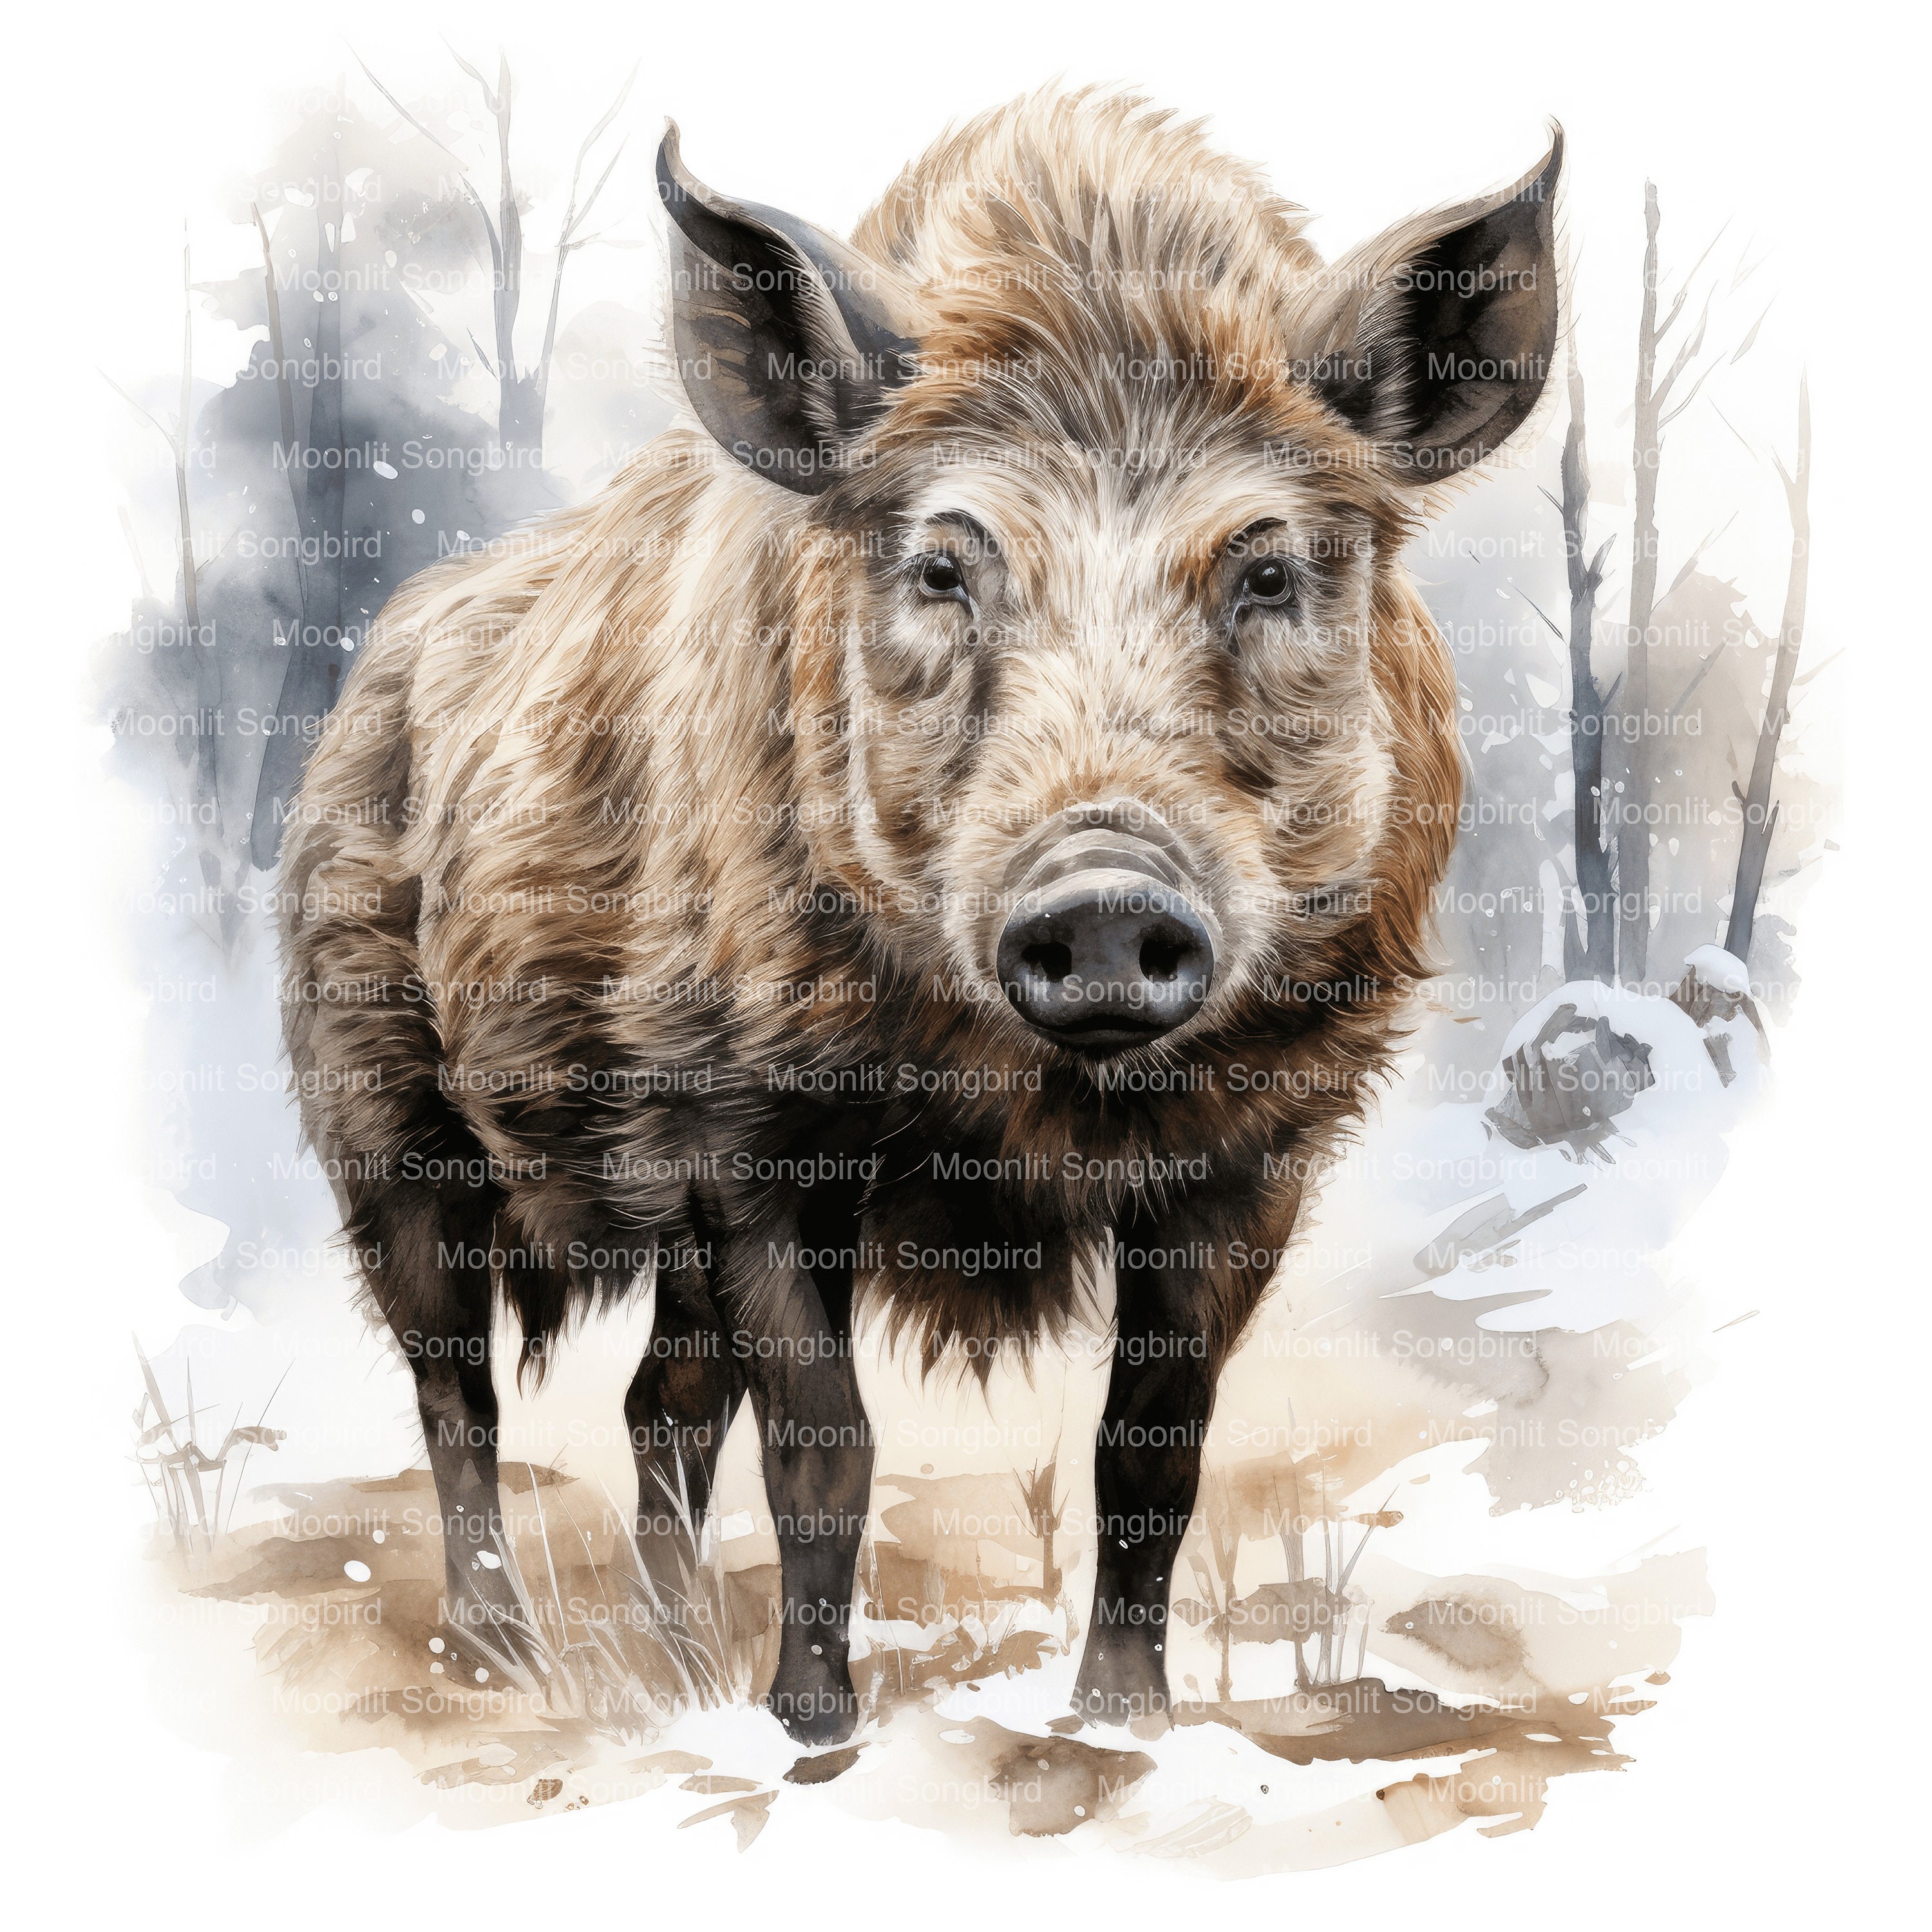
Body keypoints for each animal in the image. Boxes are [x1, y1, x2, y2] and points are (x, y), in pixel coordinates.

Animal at [279, 89, 1559, 1743]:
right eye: (945, 565)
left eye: (1269, 569)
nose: (1101, 889)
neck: (1030, 1115)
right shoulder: (750, 1120)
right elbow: (825, 1444)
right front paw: (814, 1731)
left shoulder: (1258, 1145)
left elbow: (1150, 1451)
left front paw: (1121, 1724)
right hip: (376, 1101)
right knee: (459, 1384)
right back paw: (507, 1654)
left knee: (656, 1403)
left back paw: (679, 1657)